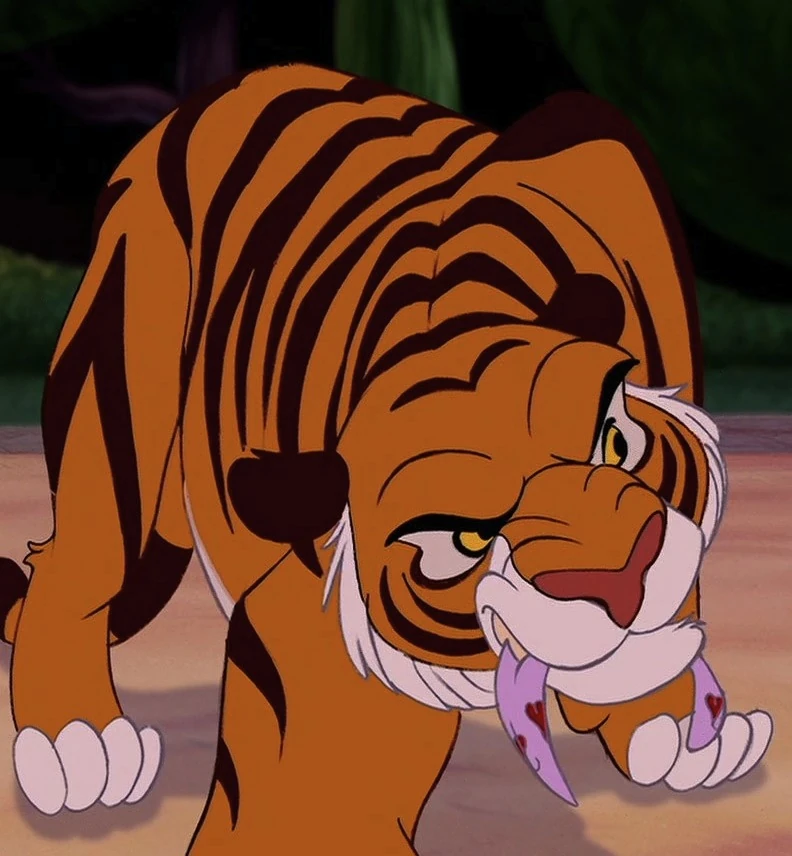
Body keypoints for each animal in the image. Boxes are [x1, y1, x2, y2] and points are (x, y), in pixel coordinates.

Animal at [0, 63, 773, 854]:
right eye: (464, 540)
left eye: (616, 442)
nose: (620, 576)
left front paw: (675, 725)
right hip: (125, 372)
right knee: (78, 558)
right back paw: (79, 741)